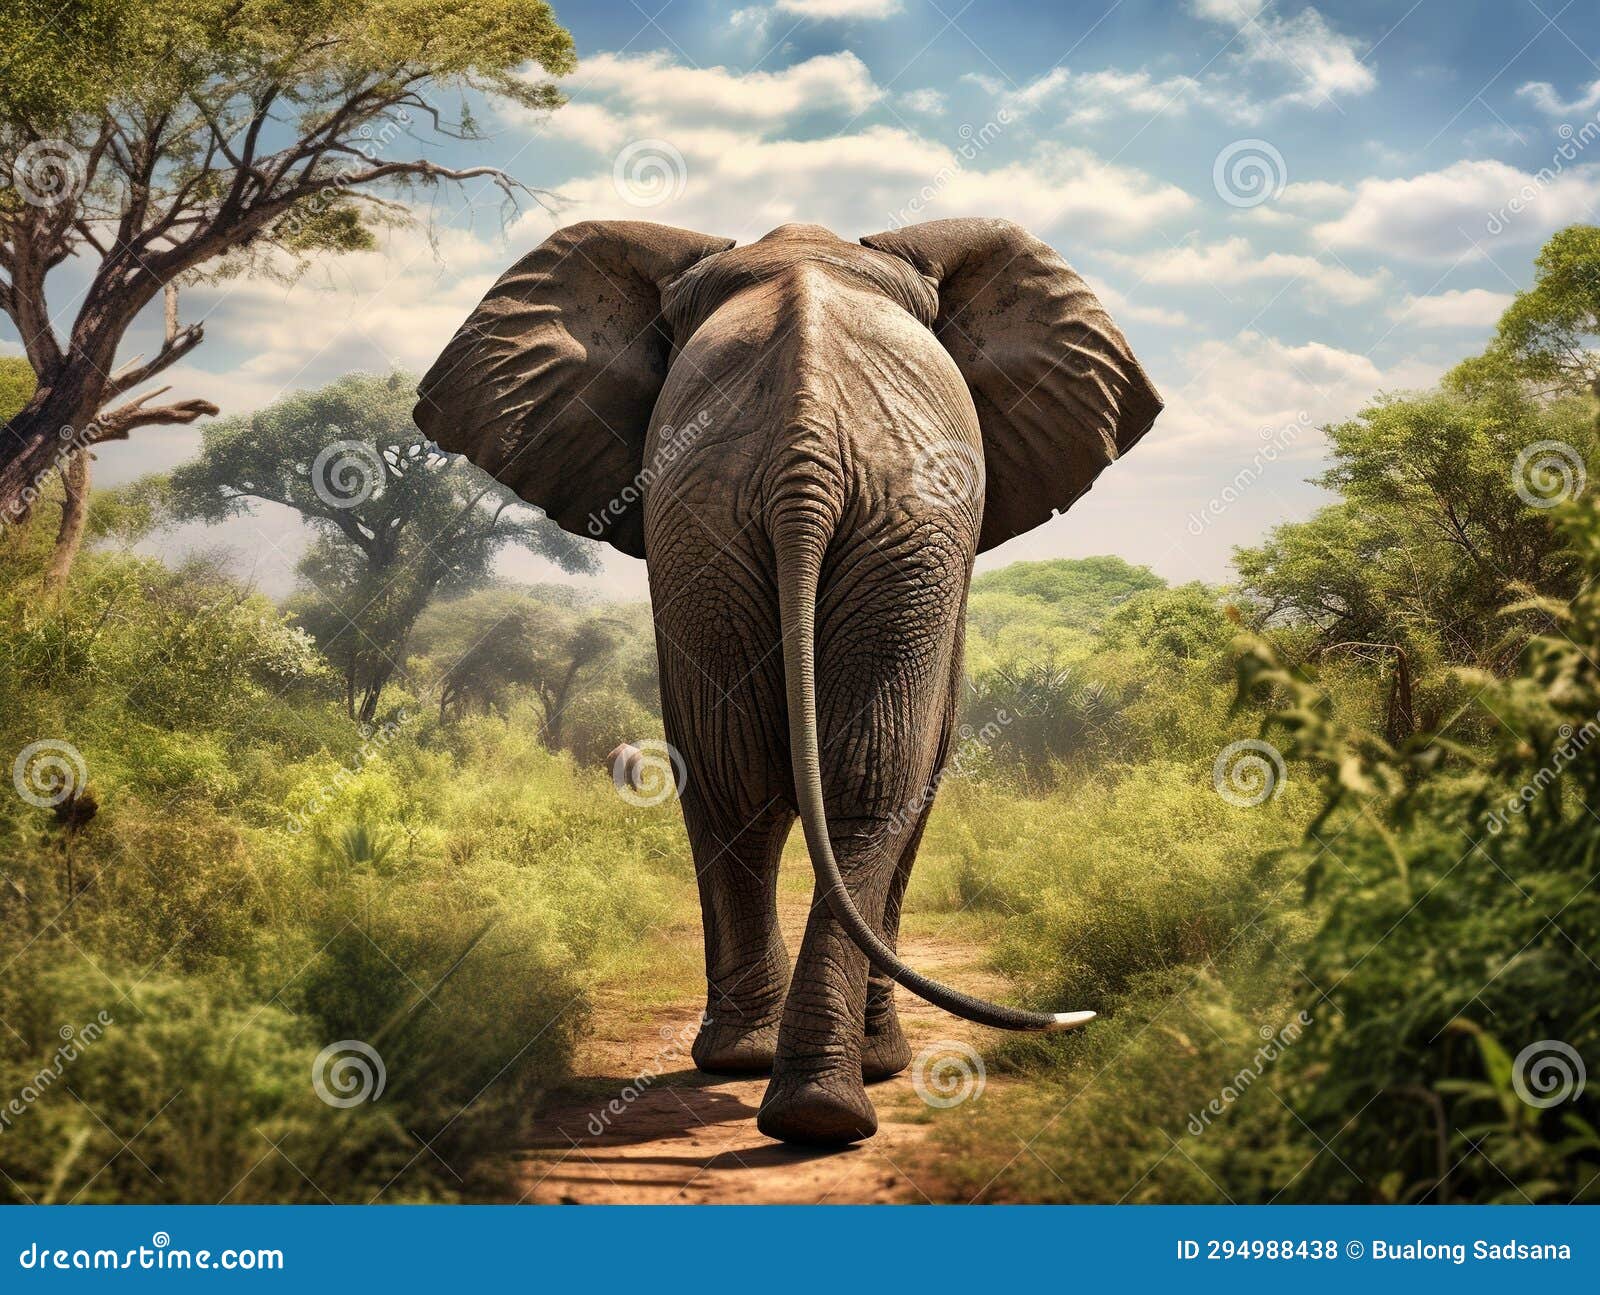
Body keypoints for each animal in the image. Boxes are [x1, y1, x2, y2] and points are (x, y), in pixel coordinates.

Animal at [414, 218, 1162, 1145]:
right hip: (831, 523)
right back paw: (810, 1092)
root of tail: (804, 453)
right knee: (836, 773)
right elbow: (926, 759)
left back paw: (785, 1088)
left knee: (756, 769)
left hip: (804, 521)